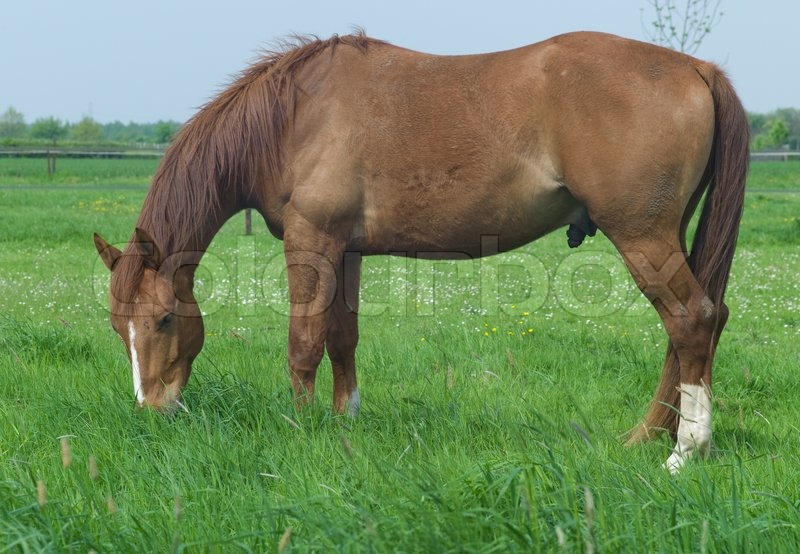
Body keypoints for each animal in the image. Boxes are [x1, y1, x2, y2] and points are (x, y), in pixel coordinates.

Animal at [93, 31, 748, 472]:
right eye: (118, 327)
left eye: (165, 319)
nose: (152, 411)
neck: (294, 117)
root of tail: (695, 67)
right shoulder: (345, 251)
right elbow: (342, 338)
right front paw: (345, 421)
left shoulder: (312, 243)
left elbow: (303, 345)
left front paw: (299, 430)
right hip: (663, 235)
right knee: (693, 328)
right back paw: (648, 436)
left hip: (642, 235)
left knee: (691, 321)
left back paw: (684, 452)